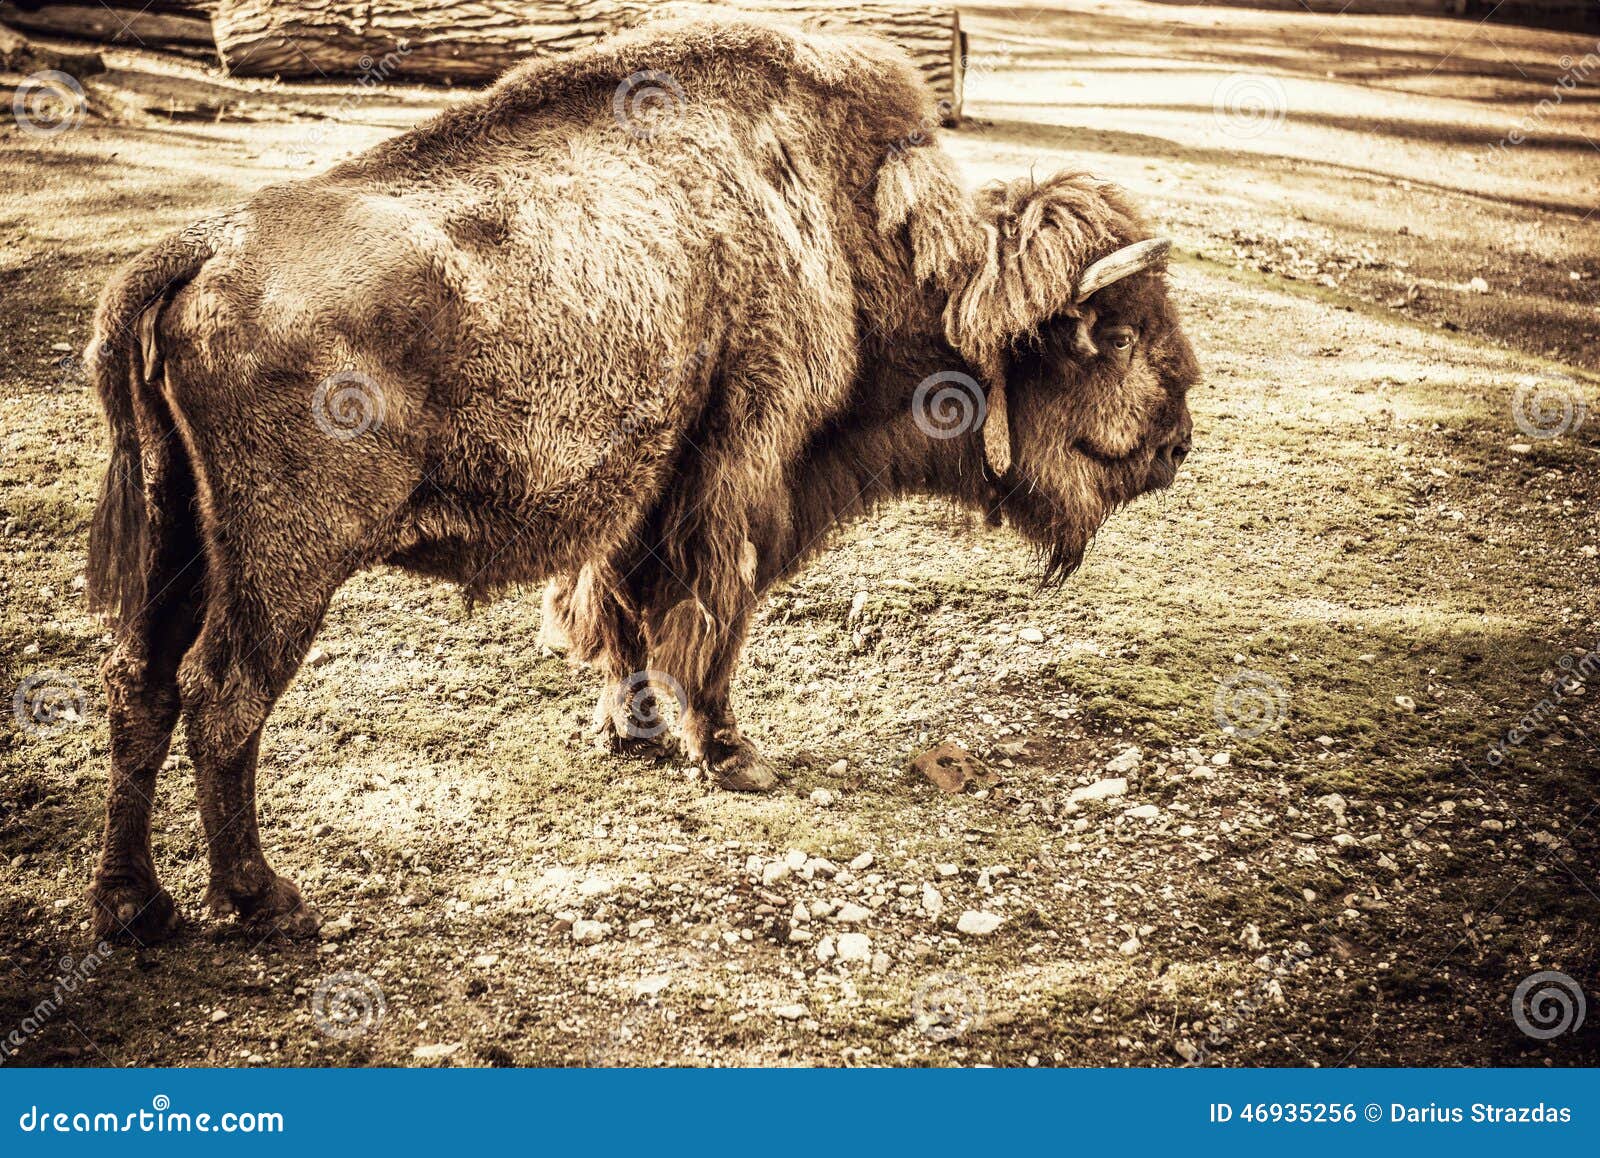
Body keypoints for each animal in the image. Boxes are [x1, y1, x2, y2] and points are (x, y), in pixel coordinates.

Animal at [83, 15, 1198, 941]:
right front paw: (732, 755)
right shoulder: (739, 470)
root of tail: (200, 247)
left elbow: (619, 609)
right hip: (285, 565)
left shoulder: (643, 487)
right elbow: (708, 614)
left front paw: (631, 730)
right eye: (1112, 336)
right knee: (222, 696)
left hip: (180, 539)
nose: (1178, 442)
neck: (850, 229)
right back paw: (264, 901)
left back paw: (137, 909)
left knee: (139, 683)